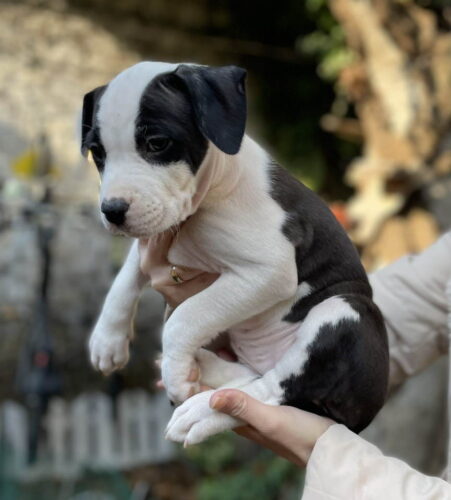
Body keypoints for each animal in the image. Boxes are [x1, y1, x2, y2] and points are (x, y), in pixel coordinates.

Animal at [83, 61, 390, 446]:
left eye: (157, 143)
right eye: (97, 153)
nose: (112, 210)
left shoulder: (269, 271)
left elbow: (187, 315)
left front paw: (176, 374)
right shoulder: (153, 238)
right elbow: (126, 276)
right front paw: (107, 339)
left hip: (345, 311)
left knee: (274, 390)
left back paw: (202, 411)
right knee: (255, 375)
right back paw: (211, 367)